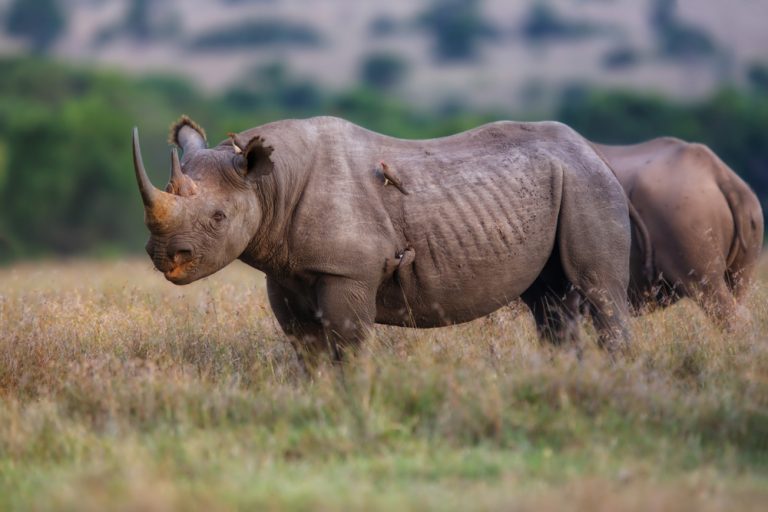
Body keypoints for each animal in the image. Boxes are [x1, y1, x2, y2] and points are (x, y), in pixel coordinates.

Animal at [132, 115, 633, 365]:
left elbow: (348, 344)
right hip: (568, 181)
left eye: (218, 218)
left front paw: (354, 398)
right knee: (550, 301)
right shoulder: (286, 274)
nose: (165, 257)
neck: (268, 184)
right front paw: (320, 398)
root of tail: (592, 149)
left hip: (589, 184)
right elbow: (307, 347)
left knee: (600, 291)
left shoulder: (347, 272)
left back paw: (616, 379)